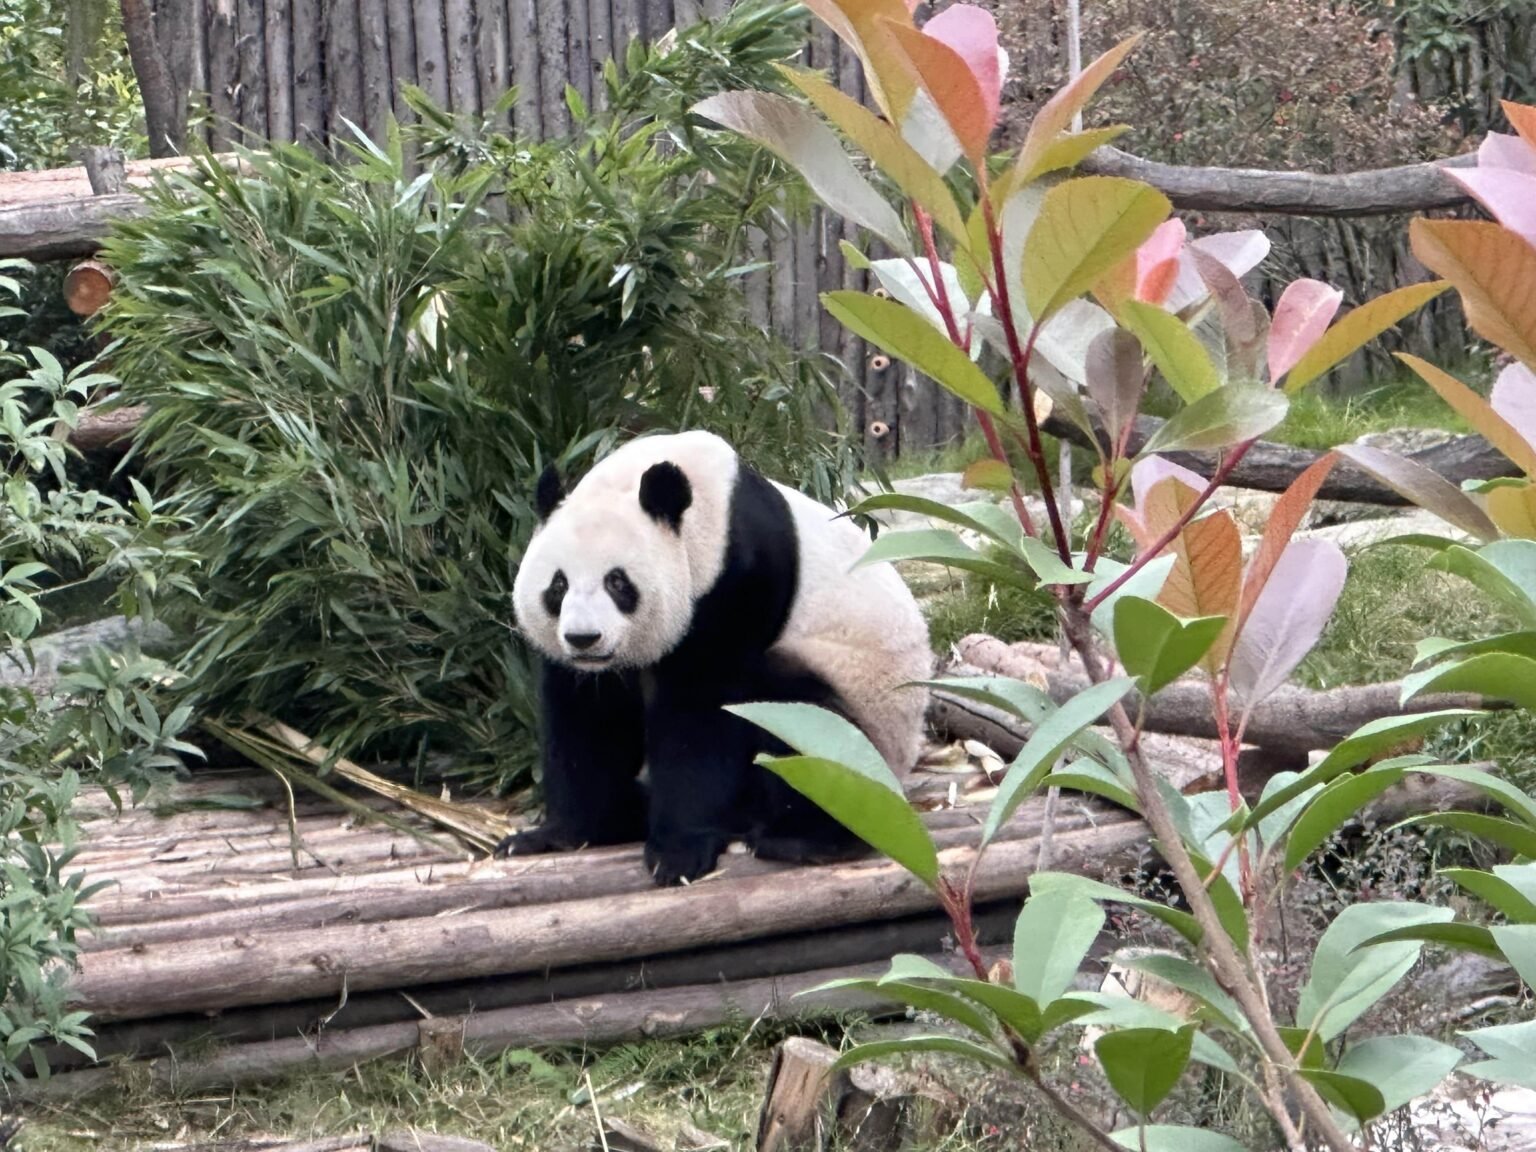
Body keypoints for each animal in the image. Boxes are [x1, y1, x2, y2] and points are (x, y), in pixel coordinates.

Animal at [500, 430, 933, 886]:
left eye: (617, 582)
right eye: (558, 585)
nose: (584, 639)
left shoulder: (736, 583)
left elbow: (702, 716)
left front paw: (678, 852)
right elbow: (588, 721)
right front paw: (561, 834)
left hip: (863, 724)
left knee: (805, 725)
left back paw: (802, 840)